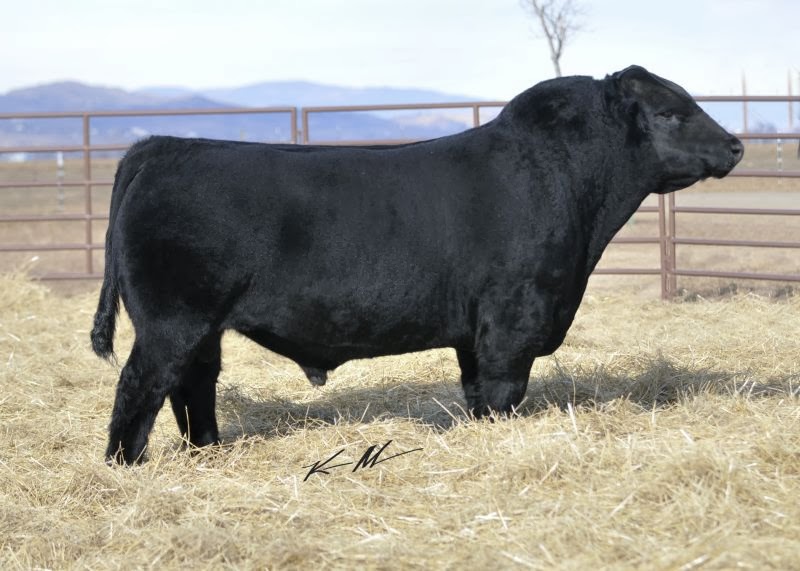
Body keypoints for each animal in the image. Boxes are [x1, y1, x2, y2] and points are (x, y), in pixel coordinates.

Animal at [92, 65, 743, 464]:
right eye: (671, 113)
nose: (736, 145)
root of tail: (163, 146)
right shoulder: (512, 321)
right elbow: (503, 393)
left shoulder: (475, 333)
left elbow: (478, 395)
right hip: (171, 321)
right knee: (140, 388)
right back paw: (126, 467)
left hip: (201, 327)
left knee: (193, 386)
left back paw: (208, 451)